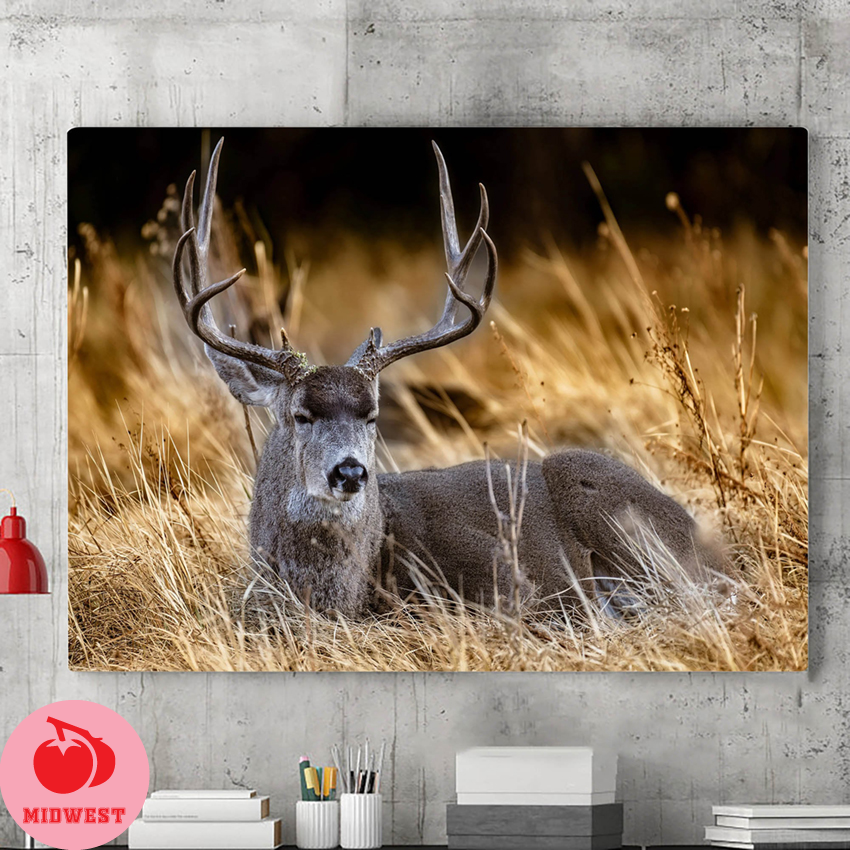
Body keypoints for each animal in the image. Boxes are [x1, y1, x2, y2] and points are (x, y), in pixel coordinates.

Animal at [172, 138, 726, 619]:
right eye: (300, 415)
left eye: (371, 415)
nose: (350, 472)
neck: (349, 593)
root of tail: (706, 540)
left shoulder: (513, 580)